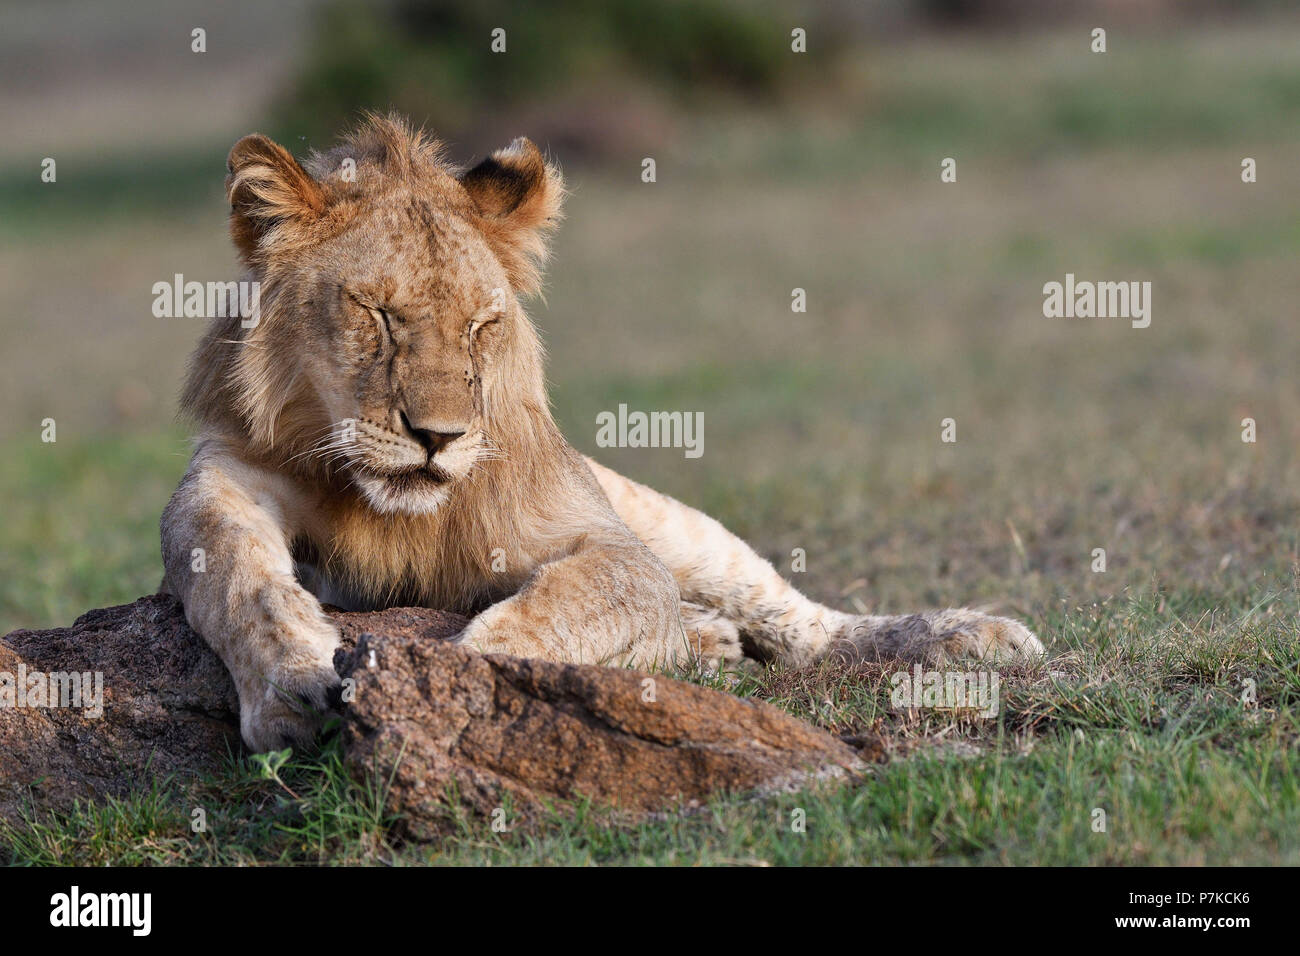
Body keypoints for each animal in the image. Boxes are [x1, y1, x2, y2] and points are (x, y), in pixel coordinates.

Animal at [160, 114, 1044, 752]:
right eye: (377, 314)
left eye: (482, 325)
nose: (439, 437)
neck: (385, 507)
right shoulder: (224, 478)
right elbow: (236, 575)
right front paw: (291, 687)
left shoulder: (600, 536)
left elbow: (593, 592)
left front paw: (459, 662)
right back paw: (708, 641)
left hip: (666, 519)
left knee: (803, 625)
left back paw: (977, 635)